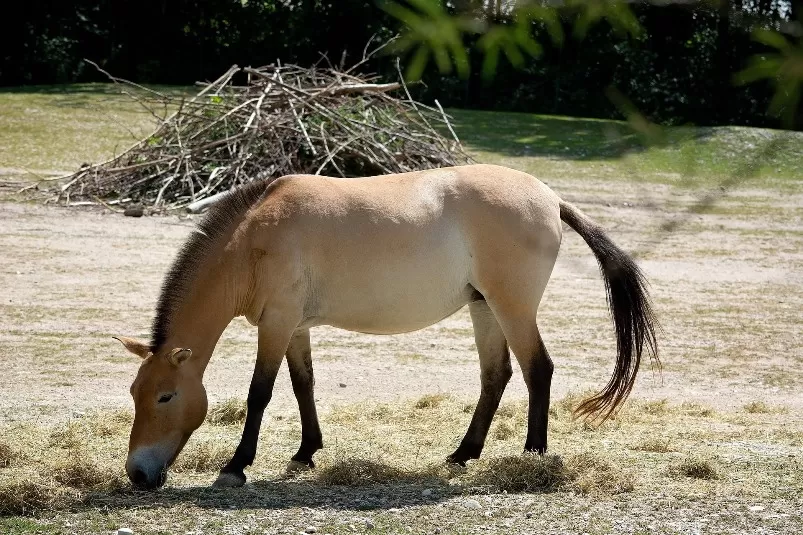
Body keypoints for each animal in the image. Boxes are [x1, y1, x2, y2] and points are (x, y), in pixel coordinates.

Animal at [116, 163, 656, 490]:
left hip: (513, 307)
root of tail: (550, 197)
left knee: (537, 370)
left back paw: (532, 454)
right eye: (135, 393)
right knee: (496, 376)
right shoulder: (294, 327)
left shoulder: (277, 323)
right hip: (485, 308)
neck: (253, 239)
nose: (138, 474)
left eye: (165, 396)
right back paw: (463, 454)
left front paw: (236, 466)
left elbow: (260, 393)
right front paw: (306, 453)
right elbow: (303, 384)